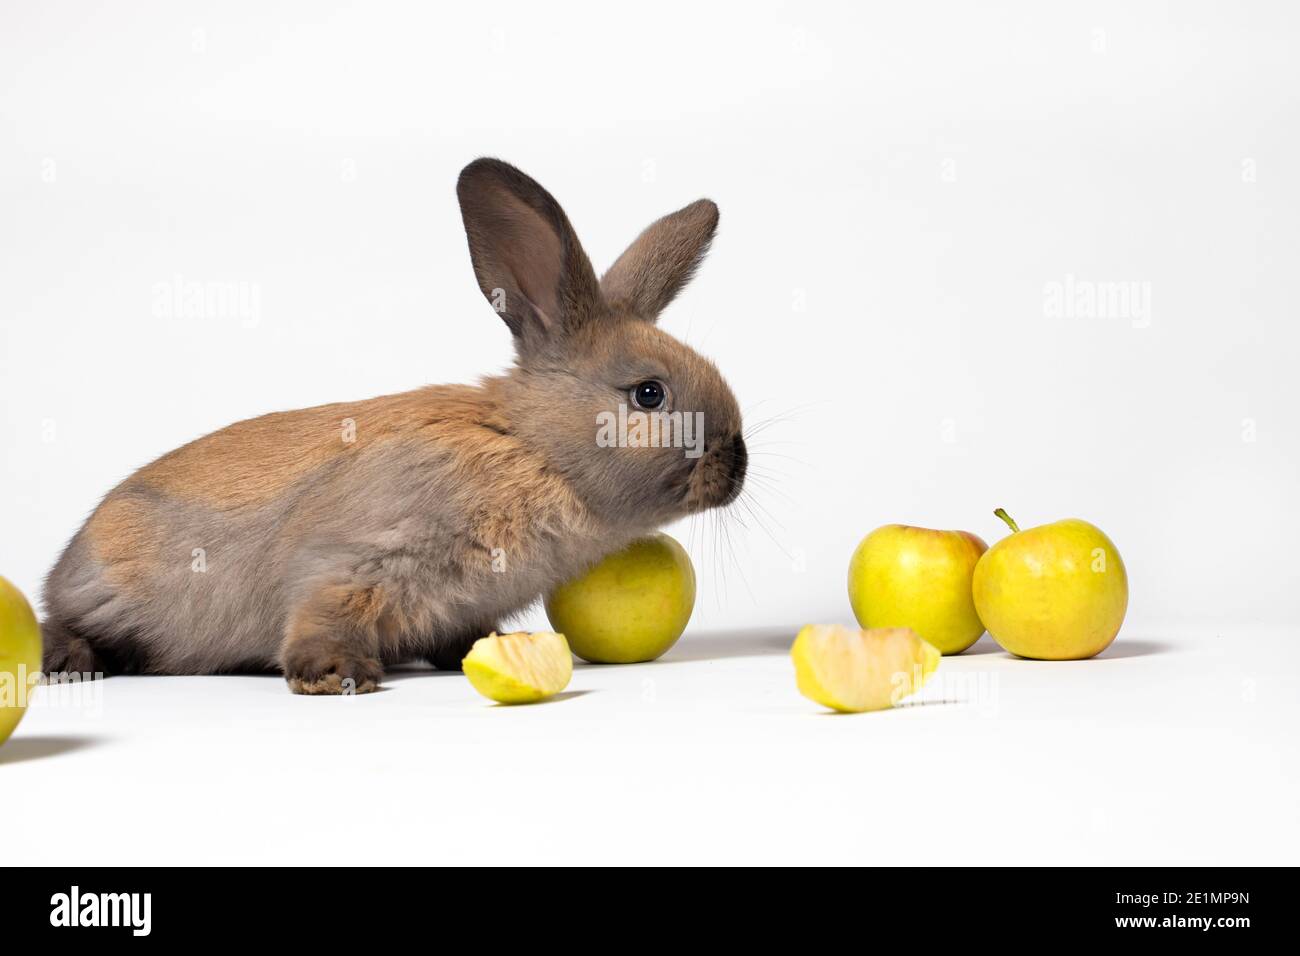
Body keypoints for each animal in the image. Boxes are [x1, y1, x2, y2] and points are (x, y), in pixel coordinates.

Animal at [40, 158, 747, 694]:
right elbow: (319, 614)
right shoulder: (365, 556)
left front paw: (503, 646)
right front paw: (335, 677)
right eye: (650, 394)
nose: (737, 465)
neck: (530, 450)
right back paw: (67, 665)